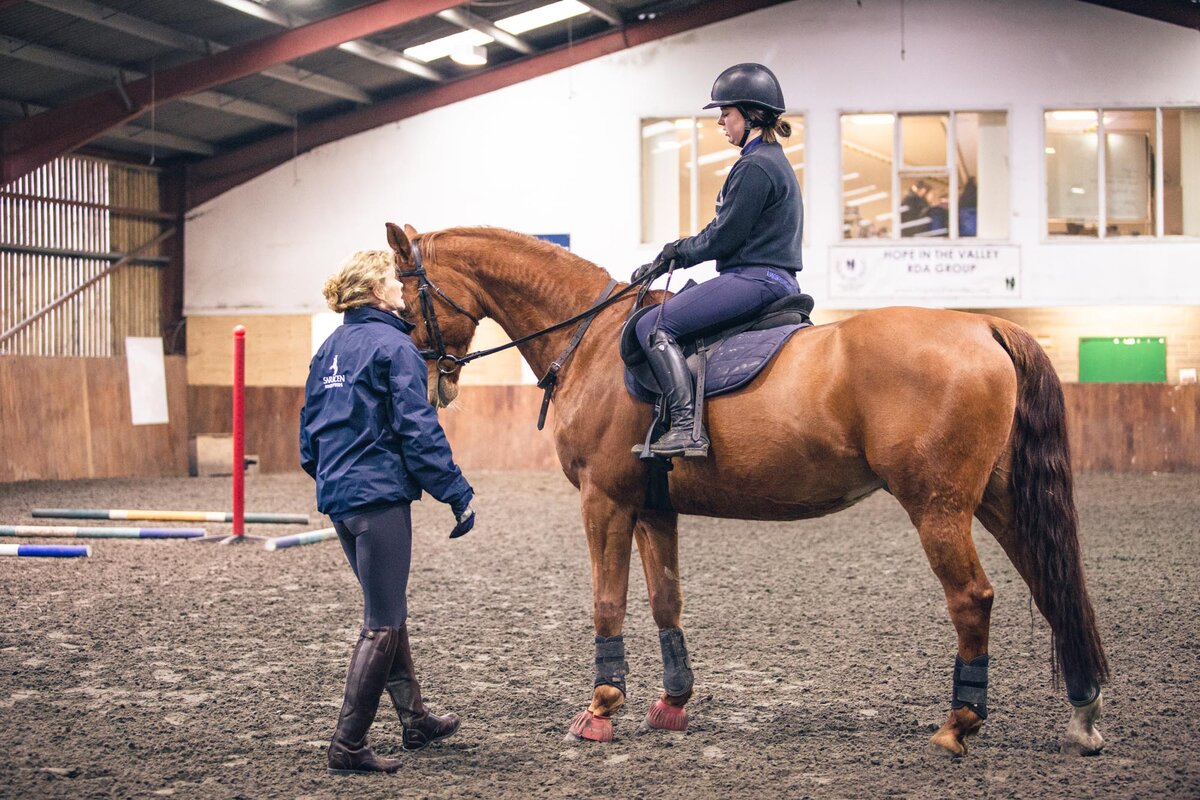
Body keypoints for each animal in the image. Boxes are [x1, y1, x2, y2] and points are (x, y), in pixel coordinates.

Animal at [385, 222, 1108, 757]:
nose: (426, 377)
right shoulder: (652, 507)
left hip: (938, 507)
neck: (590, 341)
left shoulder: (604, 499)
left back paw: (959, 723)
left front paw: (600, 709)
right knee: (1051, 584)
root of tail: (985, 325)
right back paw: (1083, 712)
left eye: (405, 296)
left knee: (973, 599)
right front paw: (672, 702)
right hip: (998, 499)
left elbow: (607, 602)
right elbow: (665, 600)